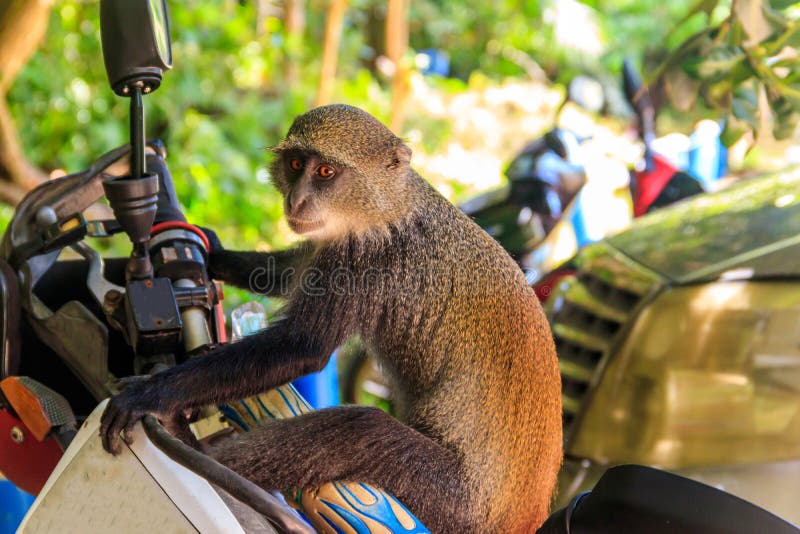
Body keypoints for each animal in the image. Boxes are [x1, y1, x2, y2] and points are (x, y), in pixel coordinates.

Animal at [100, 104, 562, 533]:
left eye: (325, 172)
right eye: (295, 165)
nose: (296, 200)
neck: (386, 205)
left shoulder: (363, 259)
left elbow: (301, 349)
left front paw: (150, 394)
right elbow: (292, 272)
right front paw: (211, 253)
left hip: (450, 503)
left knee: (361, 429)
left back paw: (205, 458)